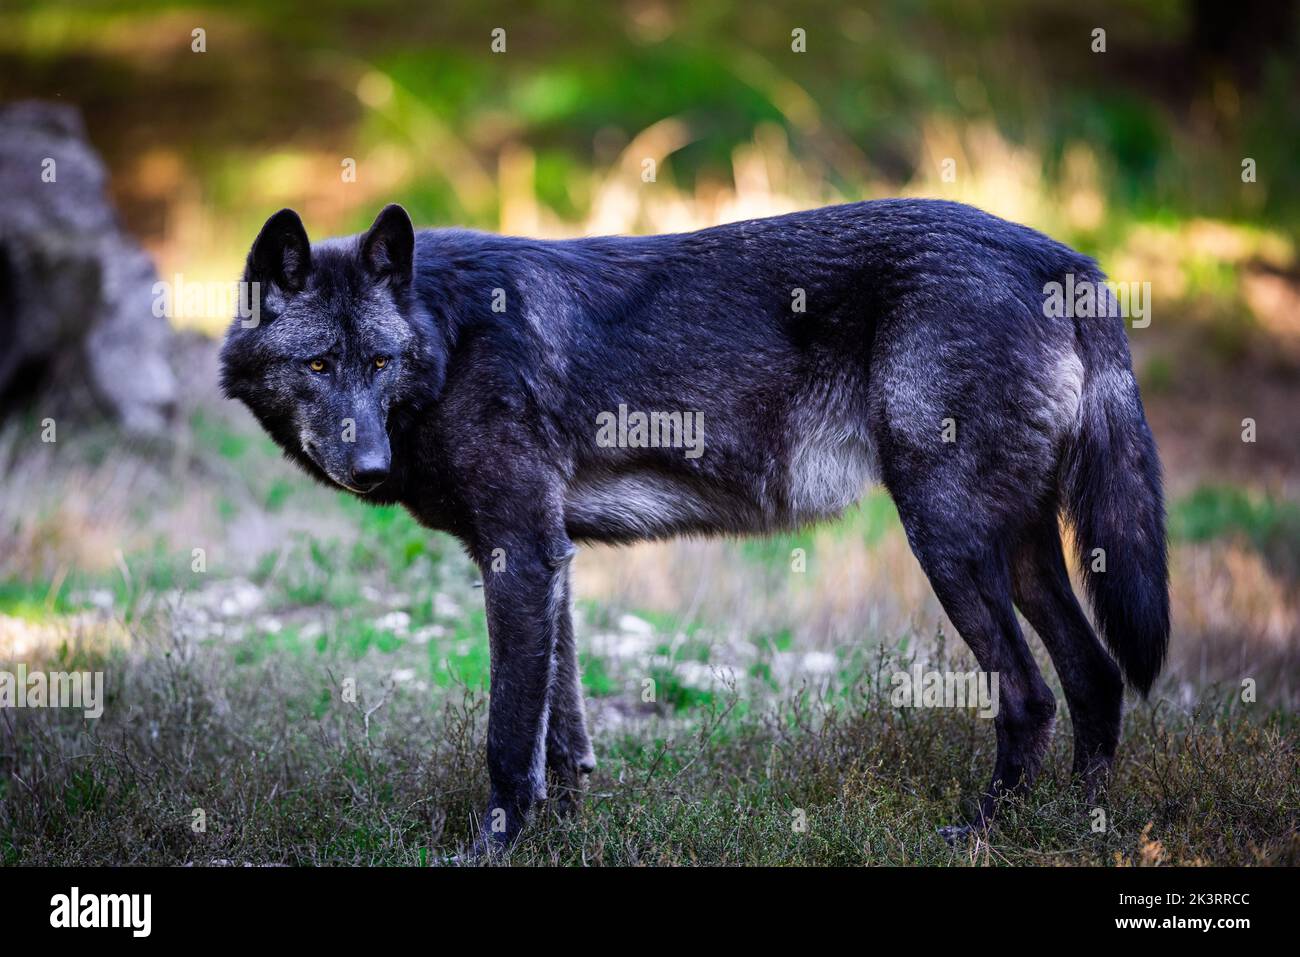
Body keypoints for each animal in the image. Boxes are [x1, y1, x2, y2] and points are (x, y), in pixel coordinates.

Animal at [220, 199, 1168, 848]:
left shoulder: (520, 553)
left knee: (1032, 696)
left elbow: (508, 736)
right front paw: (563, 838)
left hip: (949, 543)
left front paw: (493, 847)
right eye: (319, 365)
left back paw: (978, 835)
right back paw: (1077, 827)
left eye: (378, 363)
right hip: (1021, 554)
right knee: (1094, 678)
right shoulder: (547, 559)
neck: (449, 339)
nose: (370, 467)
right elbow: (562, 733)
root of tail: (1063, 257)